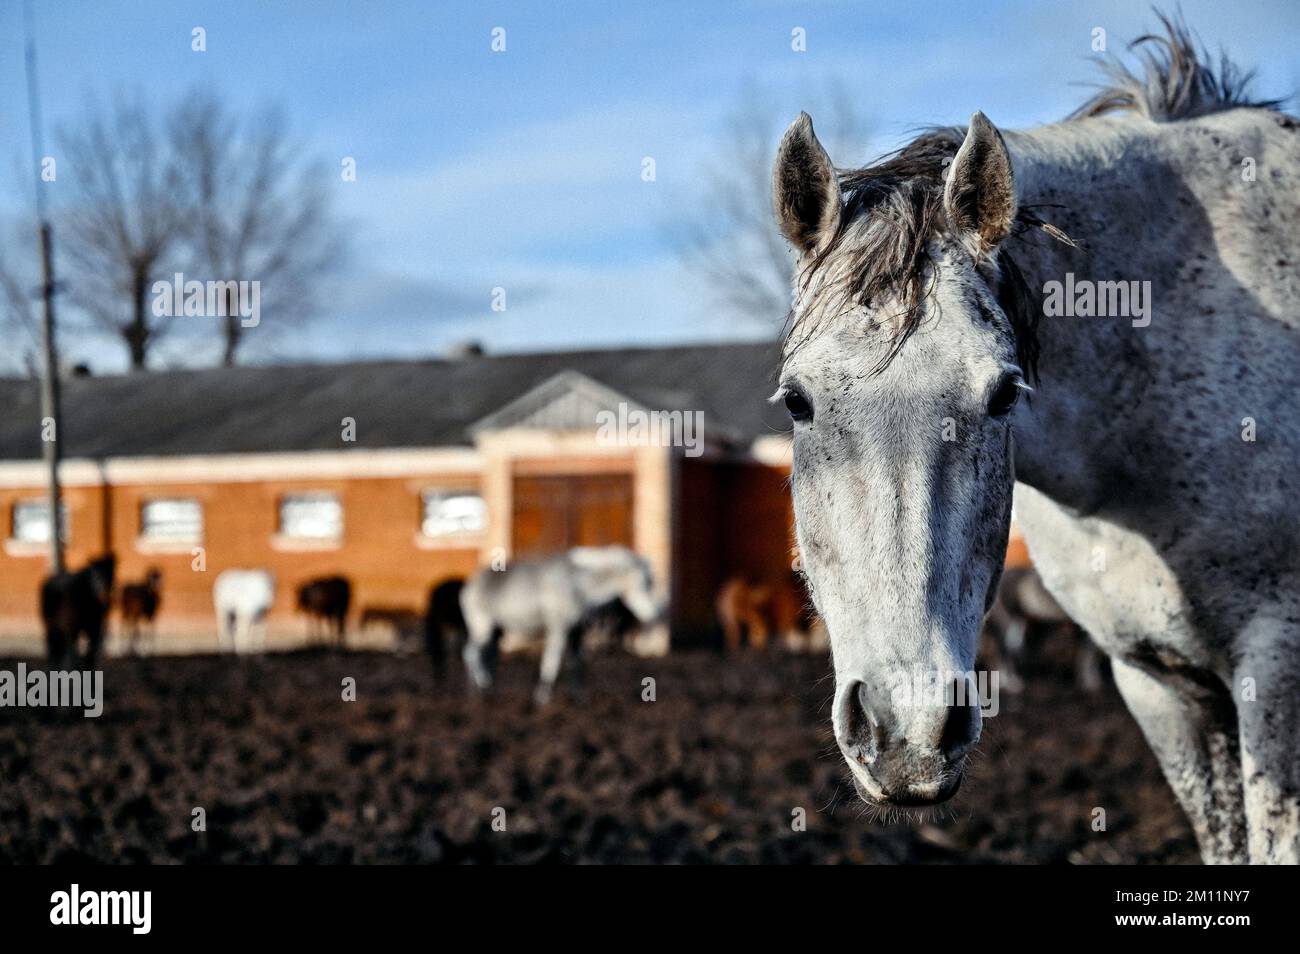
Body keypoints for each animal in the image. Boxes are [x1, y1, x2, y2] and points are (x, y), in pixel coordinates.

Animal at [460, 545, 662, 705]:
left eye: (650, 583)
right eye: (644, 583)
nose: (654, 612)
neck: (577, 583)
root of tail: (469, 588)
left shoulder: (577, 632)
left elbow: (577, 665)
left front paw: (579, 699)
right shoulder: (559, 629)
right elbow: (552, 665)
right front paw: (542, 700)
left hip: (495, 631)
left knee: (487, 658)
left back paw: (482, 695)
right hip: (483, 628)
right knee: (471, 654)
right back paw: (484, 684)